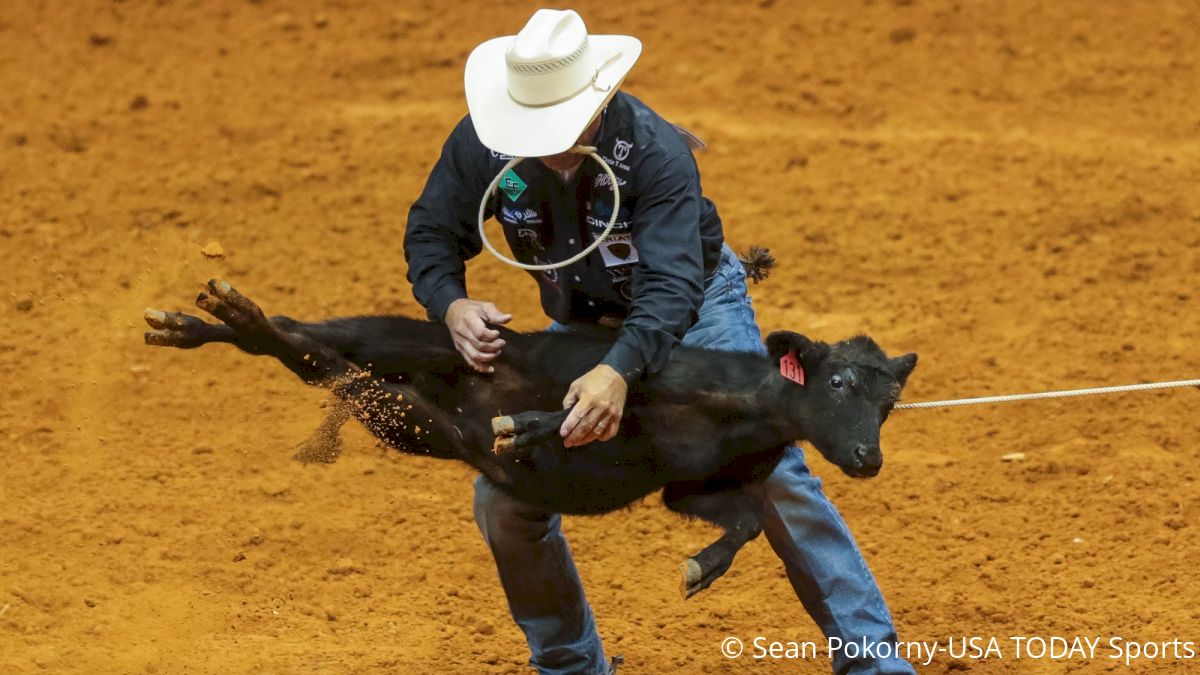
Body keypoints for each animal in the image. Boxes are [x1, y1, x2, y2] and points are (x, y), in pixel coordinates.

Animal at [143, 279, 916, 598]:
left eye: (890, 404)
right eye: (838, 383)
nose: (868, 458)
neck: (745, 412)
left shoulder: (692, 487)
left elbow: (746, 522)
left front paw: (698, 569)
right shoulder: (643, 380)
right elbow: (592, 401)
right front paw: (533, 425)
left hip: (411, 418)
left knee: (317, 359)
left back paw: (208, 322)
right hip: (396, 340)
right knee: (300, 336)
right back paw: (215, 316)